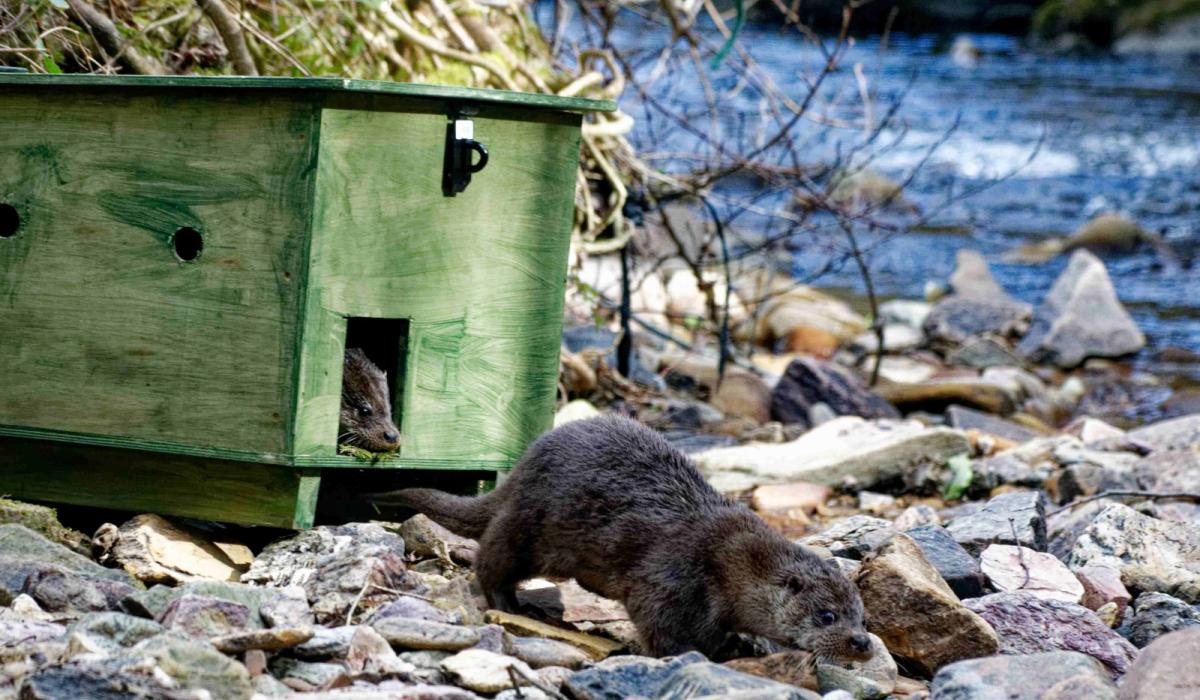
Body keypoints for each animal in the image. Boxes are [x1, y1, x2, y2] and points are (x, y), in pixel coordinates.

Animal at [370, 416, 870, 661]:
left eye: (861, 618)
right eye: (826, 616)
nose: (862, 644)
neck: (729, 559)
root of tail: (518, 470)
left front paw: (743, 644)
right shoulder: (670, 577)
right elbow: (659, 626)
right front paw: (693, 655)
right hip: (529, 524)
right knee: (490, 562)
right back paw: (513, 606)